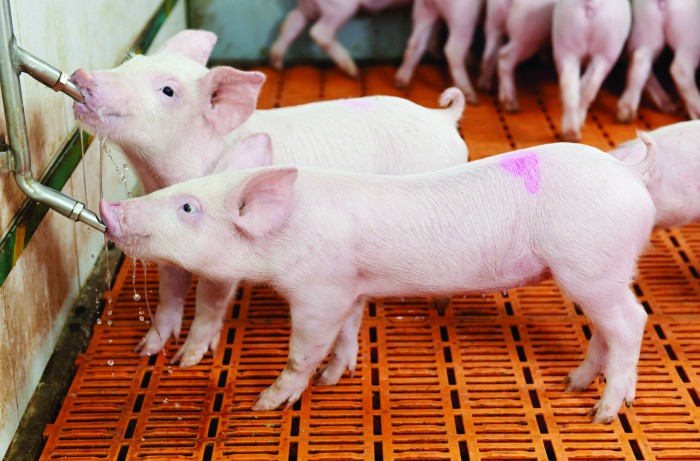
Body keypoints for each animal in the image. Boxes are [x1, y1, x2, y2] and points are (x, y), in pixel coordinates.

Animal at [71, 29, 468, 368]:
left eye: (168, 91)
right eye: (129, 62)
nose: (82, 75)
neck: (160, 172)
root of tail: (444, 118)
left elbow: (210, 300)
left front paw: (186, 360)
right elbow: (170, 288)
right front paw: (146, 350)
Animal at [100, 130, 657, 424]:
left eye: (188, 207)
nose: (110, 207)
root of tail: (628, 176)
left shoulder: (318, 289)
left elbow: (305, 348)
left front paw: (265, 403)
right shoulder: (350, 285)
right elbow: (349, 329)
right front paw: (337, 375)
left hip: (592, 265)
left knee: (631, 321)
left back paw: (603, 411)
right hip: (595, 272)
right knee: (606, 330)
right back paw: (572, 384)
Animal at [269, 0, 412, 77]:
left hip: (307, 7)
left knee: (291, 22)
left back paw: (277, 64)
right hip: (339, 7)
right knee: (319, 32)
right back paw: (354, 72)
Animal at [552, 0, 632, 141]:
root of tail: (591, 3)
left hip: (566, 39)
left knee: (570, 83)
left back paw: (571, 133)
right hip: (609, 45)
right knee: (591, 84)